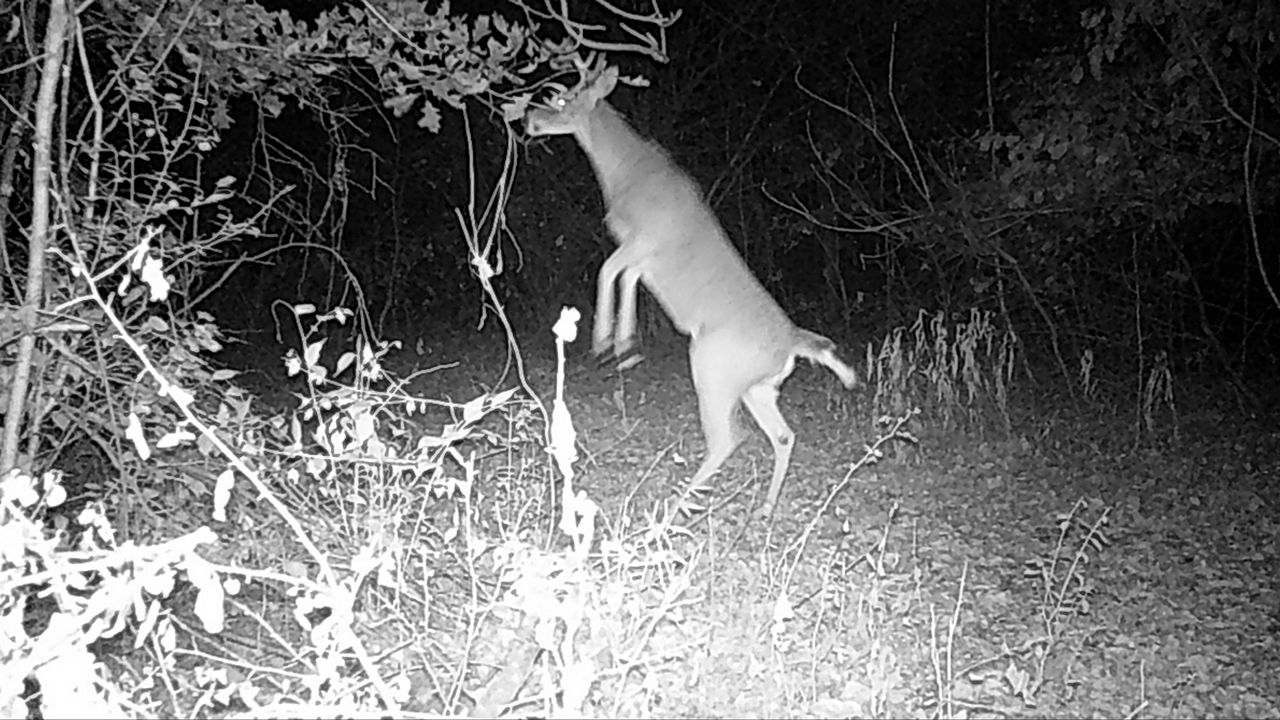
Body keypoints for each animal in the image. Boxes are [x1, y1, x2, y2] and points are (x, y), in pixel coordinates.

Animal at [524, 62, 857, 518]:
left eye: (560, 98)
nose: (529, 119)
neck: (625, 172)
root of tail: (792, 343)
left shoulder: (643, 239)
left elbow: (607, 272)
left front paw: (605, 342)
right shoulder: (642, 257)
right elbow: (625, 279)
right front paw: (626, 347)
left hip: (713, 368)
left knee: (730, 437)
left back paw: (678, 504)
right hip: (756, 388)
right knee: (783, 435)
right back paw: (764, 509)